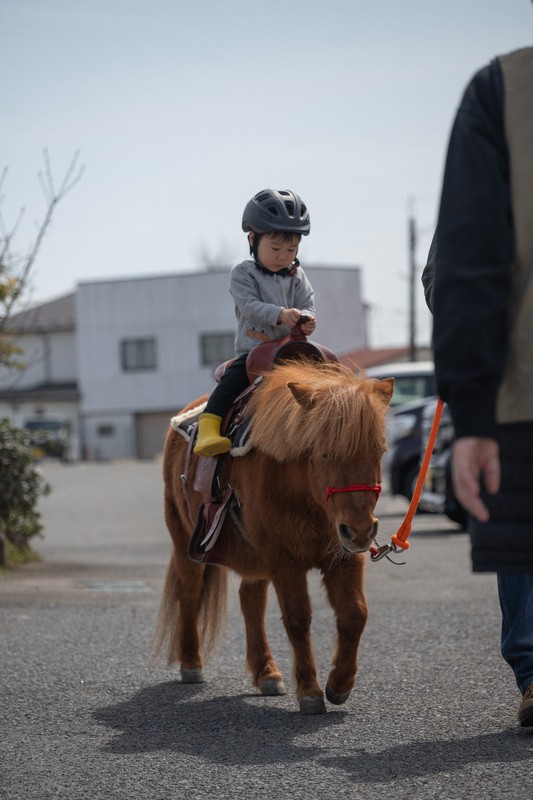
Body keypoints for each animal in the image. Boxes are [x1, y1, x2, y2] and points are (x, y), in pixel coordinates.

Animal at [156, 359, 394, 714]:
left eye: (379, 451)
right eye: (324, 453)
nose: (361, 530)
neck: (305, 494)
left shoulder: (345, 556)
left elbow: (354, 613)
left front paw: (339, 684)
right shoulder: (284, 559)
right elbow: (298, 618)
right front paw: (309, 691)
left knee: (250, 599)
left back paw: (267, 673)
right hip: (183, 537)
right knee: (189, 593)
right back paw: (191, 664)